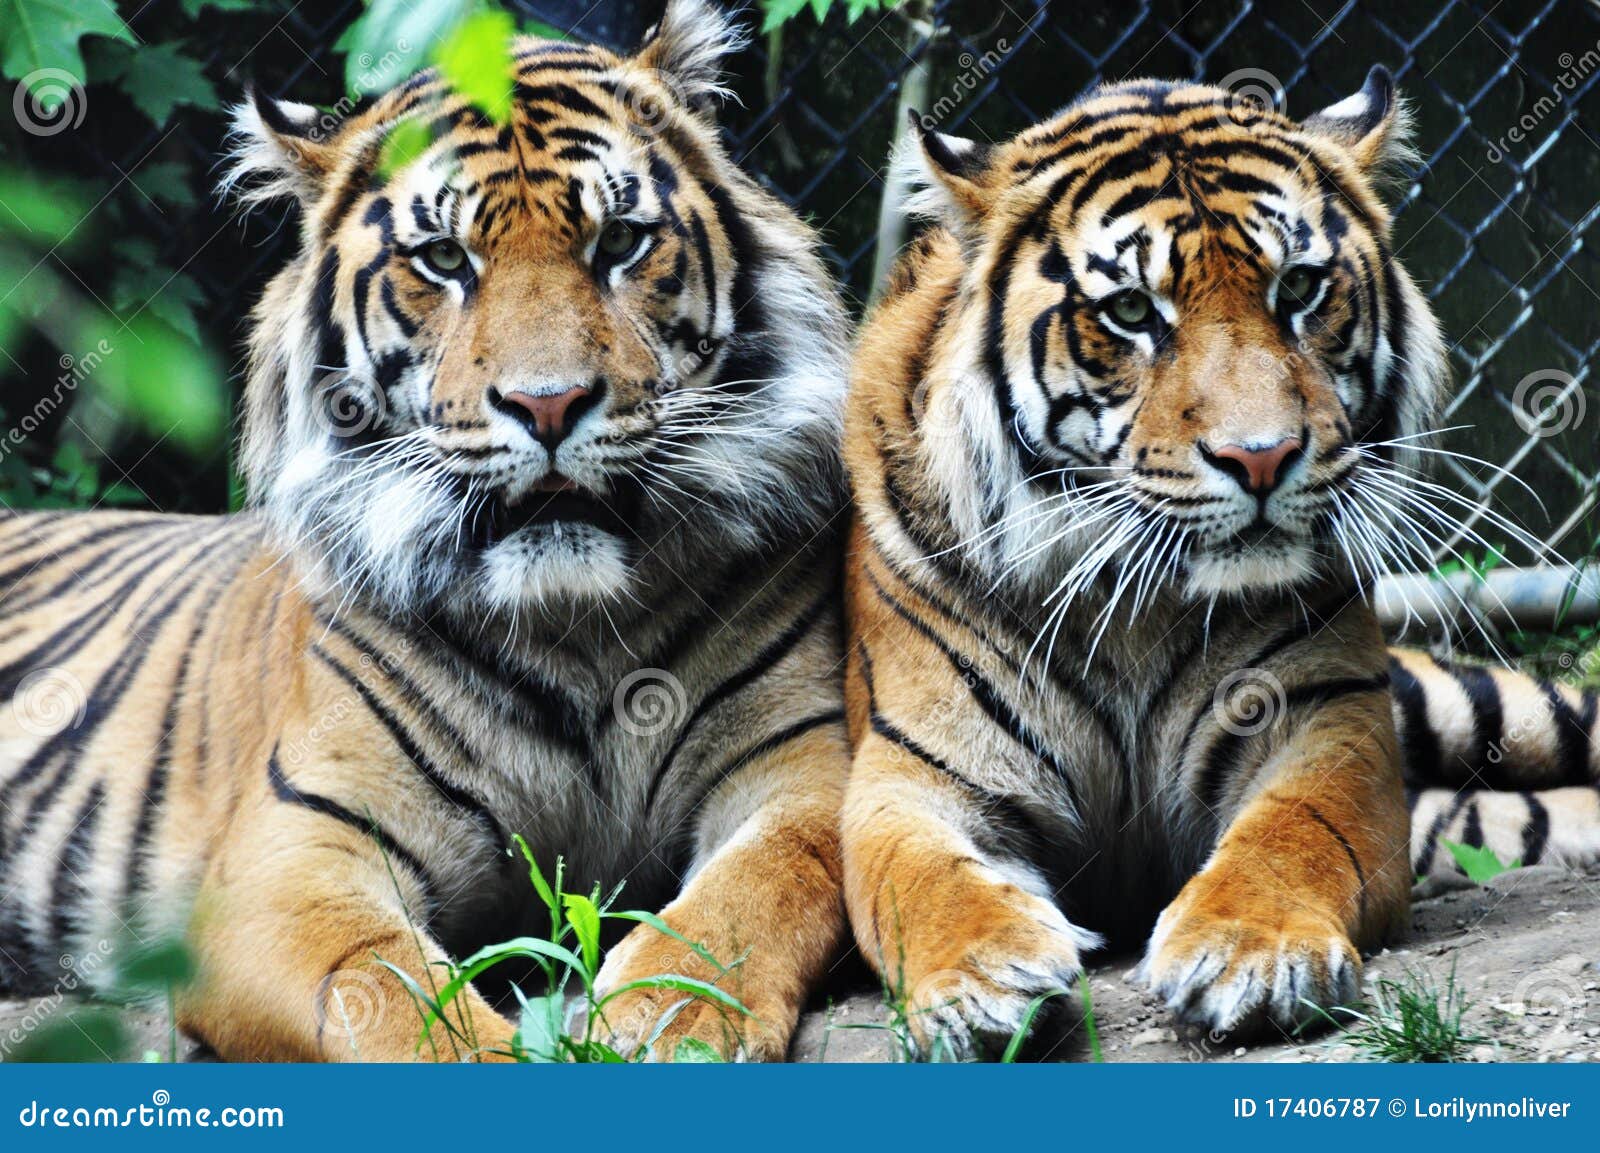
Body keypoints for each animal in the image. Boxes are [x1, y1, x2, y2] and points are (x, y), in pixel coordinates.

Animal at [0, 0, 852, 1062]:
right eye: (444, 259)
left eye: (619, 242)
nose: (549, 403)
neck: (576, 627)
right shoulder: (291, 854)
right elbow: (391, 992)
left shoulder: (810, 765)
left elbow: (760, 889)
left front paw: (674, 1019)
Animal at [839, 66, 1600, 1059]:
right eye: (1130, 311)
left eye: (1301, 288)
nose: (1263, 457)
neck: (1130, 605)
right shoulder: (912, 775)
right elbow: (920, 878)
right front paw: (979, 981)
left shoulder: (1328, 720)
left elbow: (1294, 831)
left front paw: (1252, 951)